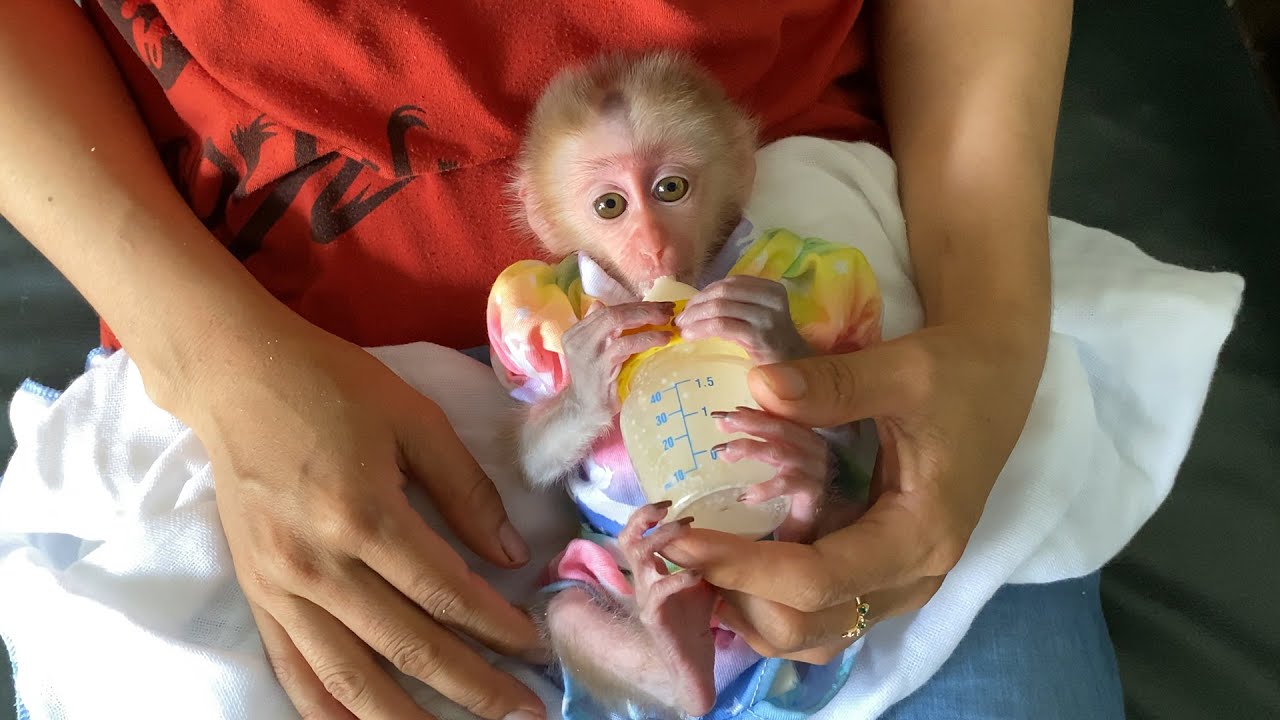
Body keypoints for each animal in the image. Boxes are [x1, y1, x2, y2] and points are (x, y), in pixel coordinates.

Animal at [485, 51, 884, 718]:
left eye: (671, 189)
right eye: (610, 206)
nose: (653, 246)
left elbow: (860, 435)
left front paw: (767, 330)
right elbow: (530, 452)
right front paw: (590, 370)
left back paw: (799, 493)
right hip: (604, 569)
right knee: (573, 608)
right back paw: (678, 654)